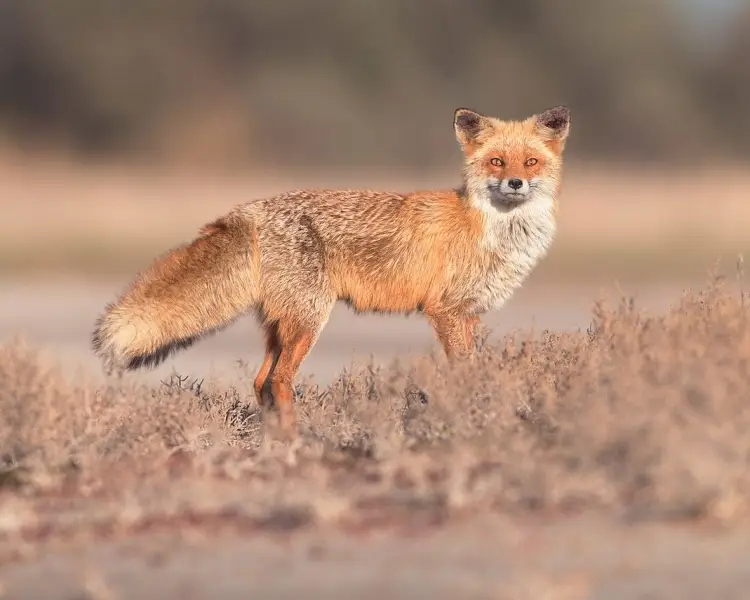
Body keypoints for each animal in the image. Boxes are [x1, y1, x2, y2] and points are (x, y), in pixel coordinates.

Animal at [92, 105, 571, 437]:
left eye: (530, 162)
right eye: (497, 162)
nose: (515, 184)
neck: (490, 230)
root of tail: (250, 210)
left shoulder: (469, 314)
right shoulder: (447, 312)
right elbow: (464, 373)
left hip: (283, 325)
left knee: (260, 381)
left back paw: (274, 440)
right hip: (309, 321)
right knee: (280, 381)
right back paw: (296, 442)